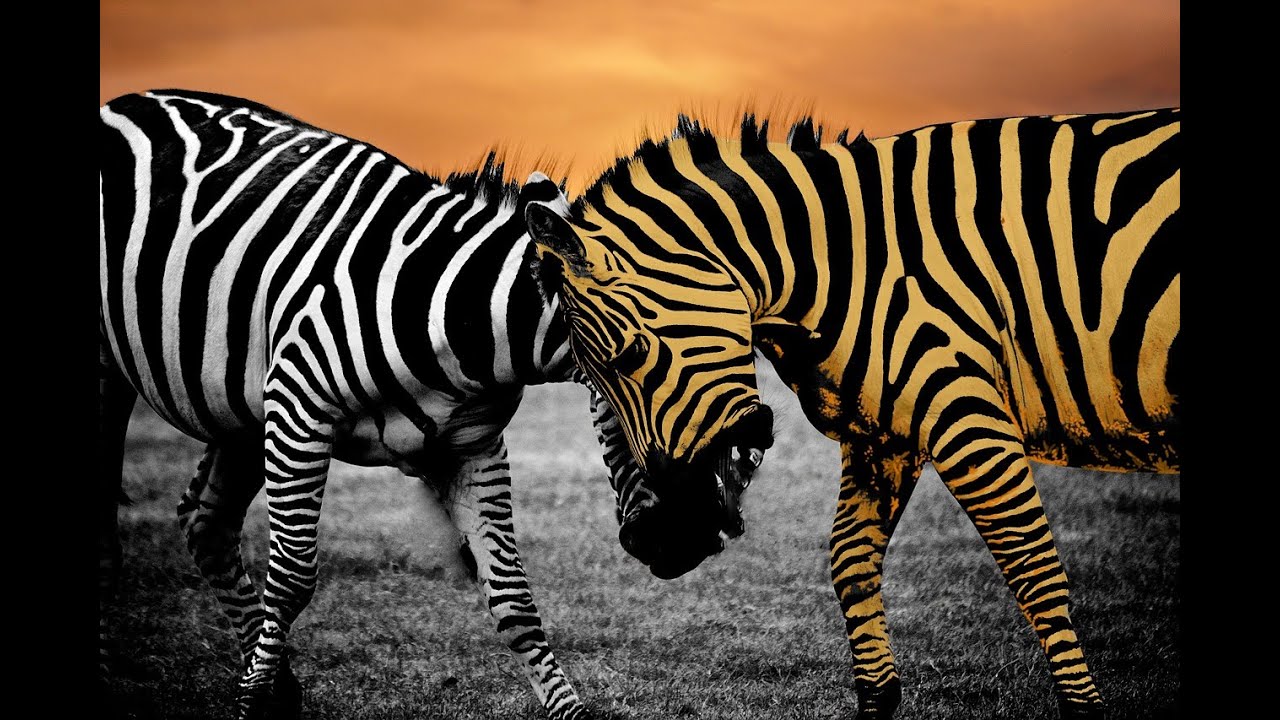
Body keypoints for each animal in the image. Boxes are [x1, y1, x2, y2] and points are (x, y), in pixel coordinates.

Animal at [98, 89, 668, 720]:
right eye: (636, 364)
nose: (680, 545)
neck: (460, 314)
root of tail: (125, 102)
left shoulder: (471, 446)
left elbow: (513, 597)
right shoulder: (297, 408)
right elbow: (291, 578)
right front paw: (250, 705)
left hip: (241, 406)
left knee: (205, 522)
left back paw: (277, 690)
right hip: (119, 372)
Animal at [521, 108, 1180, 718]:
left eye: (632, 355)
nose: (655, 542)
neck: (847, 263)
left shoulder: (967, 415)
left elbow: (1033, 569)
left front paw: (1083, 708)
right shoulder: (881, 434)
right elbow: (849, 562)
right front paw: (877, 697)